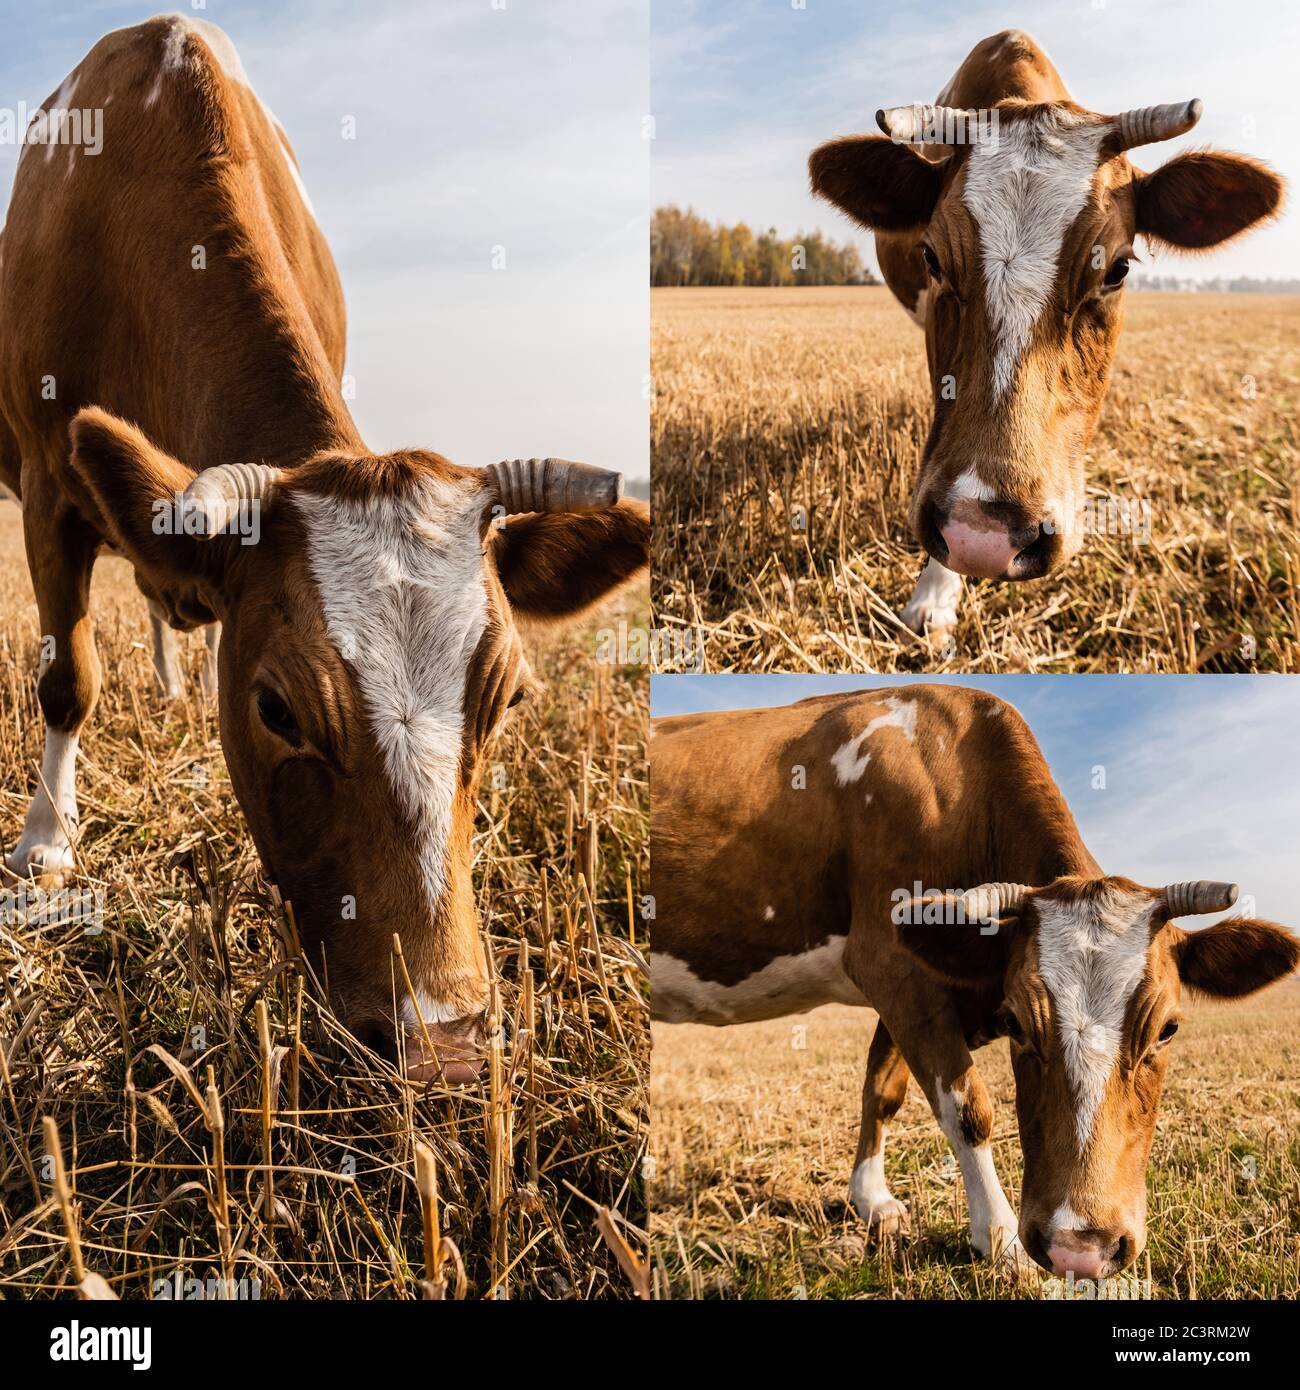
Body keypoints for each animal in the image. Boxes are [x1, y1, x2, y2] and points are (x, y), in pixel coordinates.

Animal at [0, 16, 649, 1084]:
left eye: (508, 699)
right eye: (277, 709)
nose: (442, 1041)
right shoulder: (51, 488)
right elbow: (67, 681)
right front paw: (46, 845)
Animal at [650, 685, 1299, 1276]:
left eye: (1167, 1029)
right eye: (1017, 1022)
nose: (1082, 1249)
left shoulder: (914, 985)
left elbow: (882, 1090)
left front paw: (871, 1199)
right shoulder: (893, 965)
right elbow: (967, 1109)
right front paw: (1002, 1238)